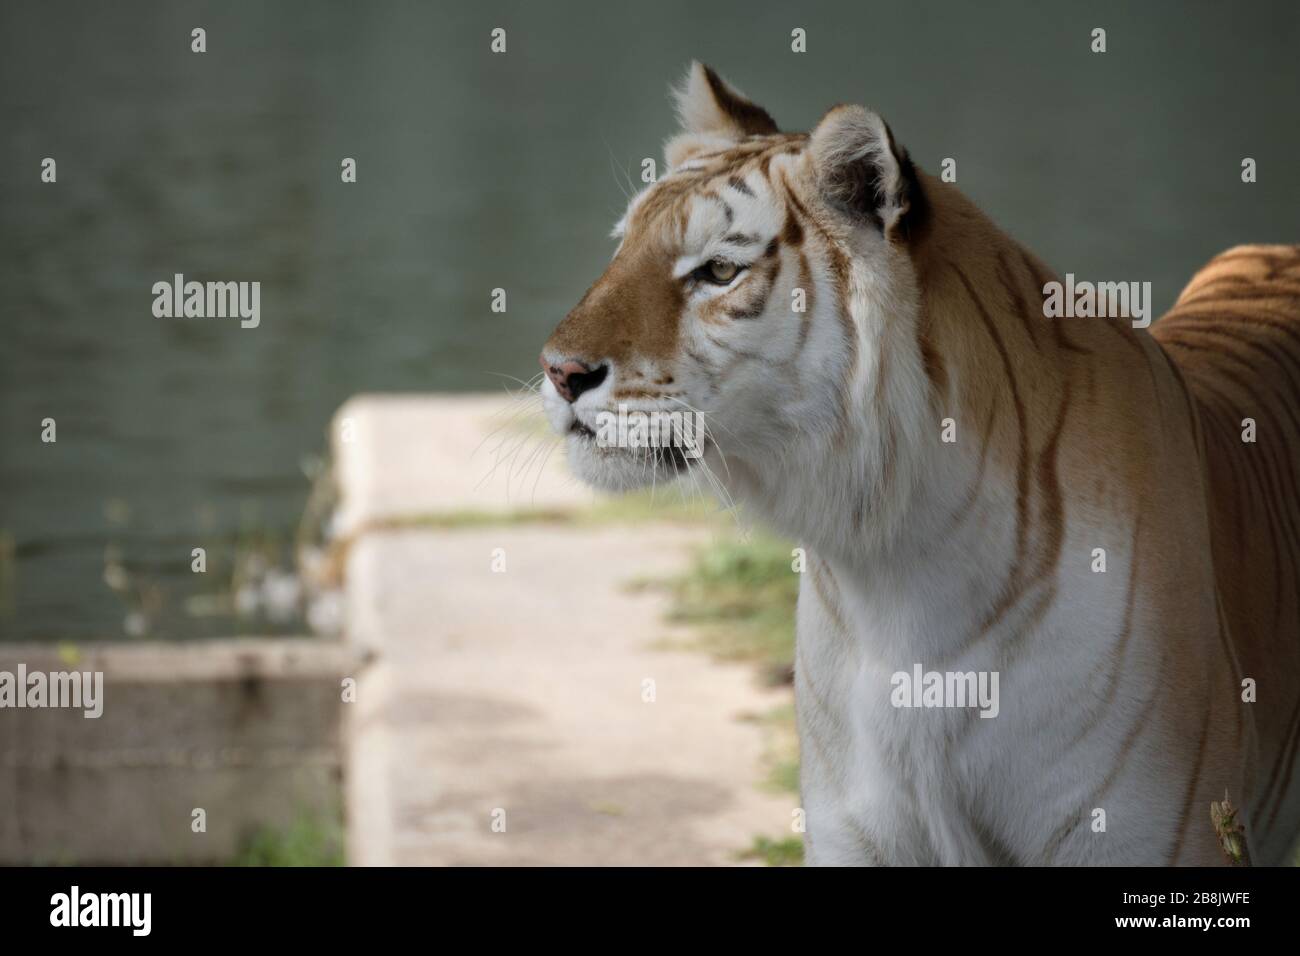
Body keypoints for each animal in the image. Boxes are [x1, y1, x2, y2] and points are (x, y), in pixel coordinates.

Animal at [537, 62, 1300, 866]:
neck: (895, 561)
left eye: (718, 270)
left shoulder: (1143, 833)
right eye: (623, 247)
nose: (558, 371)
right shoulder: (854, 833)